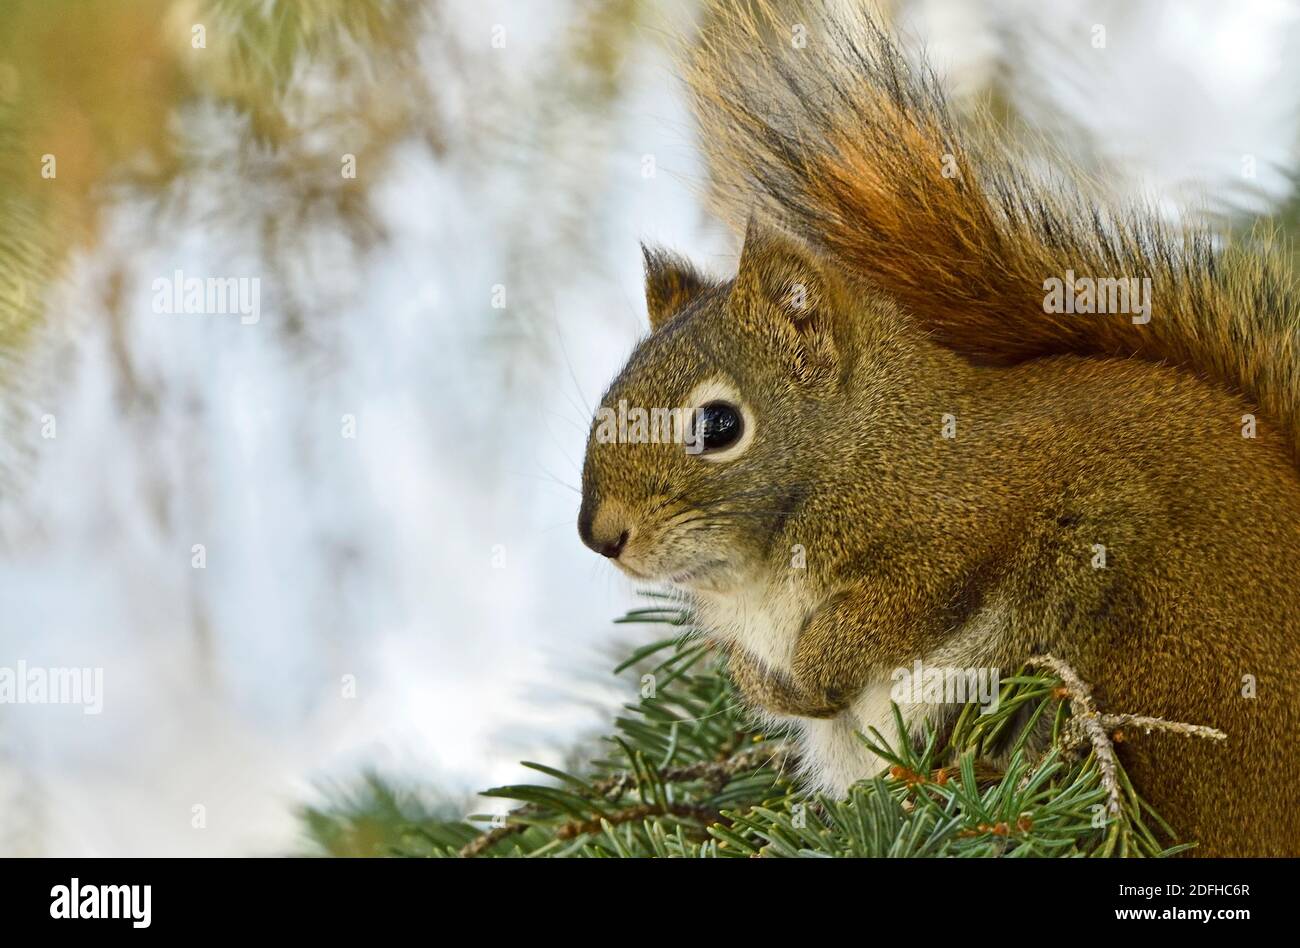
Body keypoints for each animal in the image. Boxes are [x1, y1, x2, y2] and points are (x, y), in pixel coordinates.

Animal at [577, 1, 1300, 857]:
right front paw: (768, 684)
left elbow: (887, 609)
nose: (600, 536)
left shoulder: (972, 515)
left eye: (719, 424)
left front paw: (817, 669)